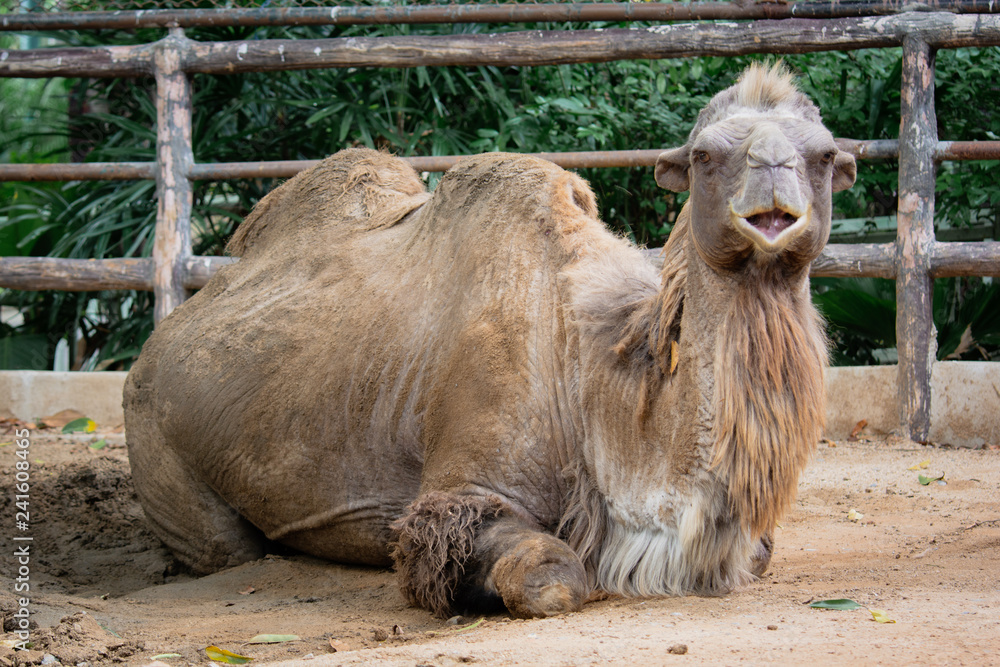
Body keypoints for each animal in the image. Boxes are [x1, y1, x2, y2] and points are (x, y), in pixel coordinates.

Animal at [124, 62, 856, 619]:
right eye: (705, 155)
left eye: (823, 155)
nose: (773, 178)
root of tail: (156, 344)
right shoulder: (465, 489)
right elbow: (550, 576)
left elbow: (760, 549)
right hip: (153, 435)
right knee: (223, 548)